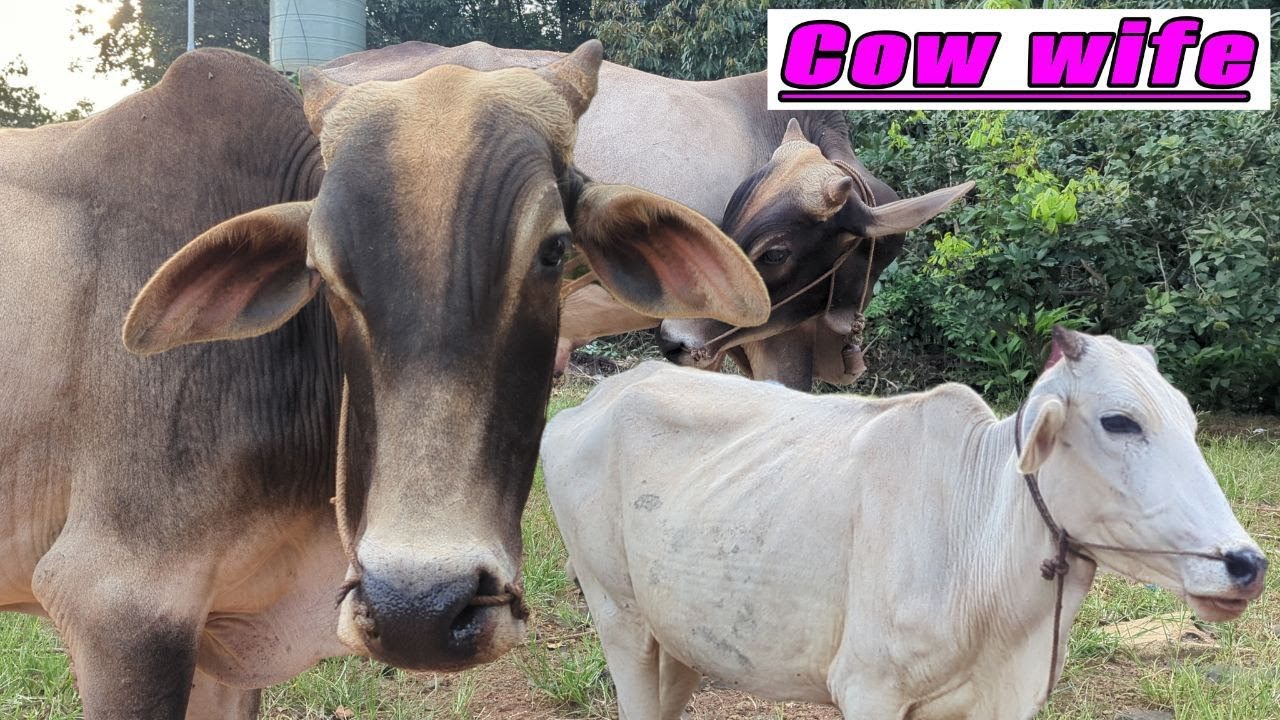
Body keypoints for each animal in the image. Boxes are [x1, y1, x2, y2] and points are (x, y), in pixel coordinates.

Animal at [540, 327, 1267, 719]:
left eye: (1190, 421)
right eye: (1119, 421)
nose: (1246, 564)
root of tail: (598, 396)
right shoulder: (868, 689)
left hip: (684, 636)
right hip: (620, 615)